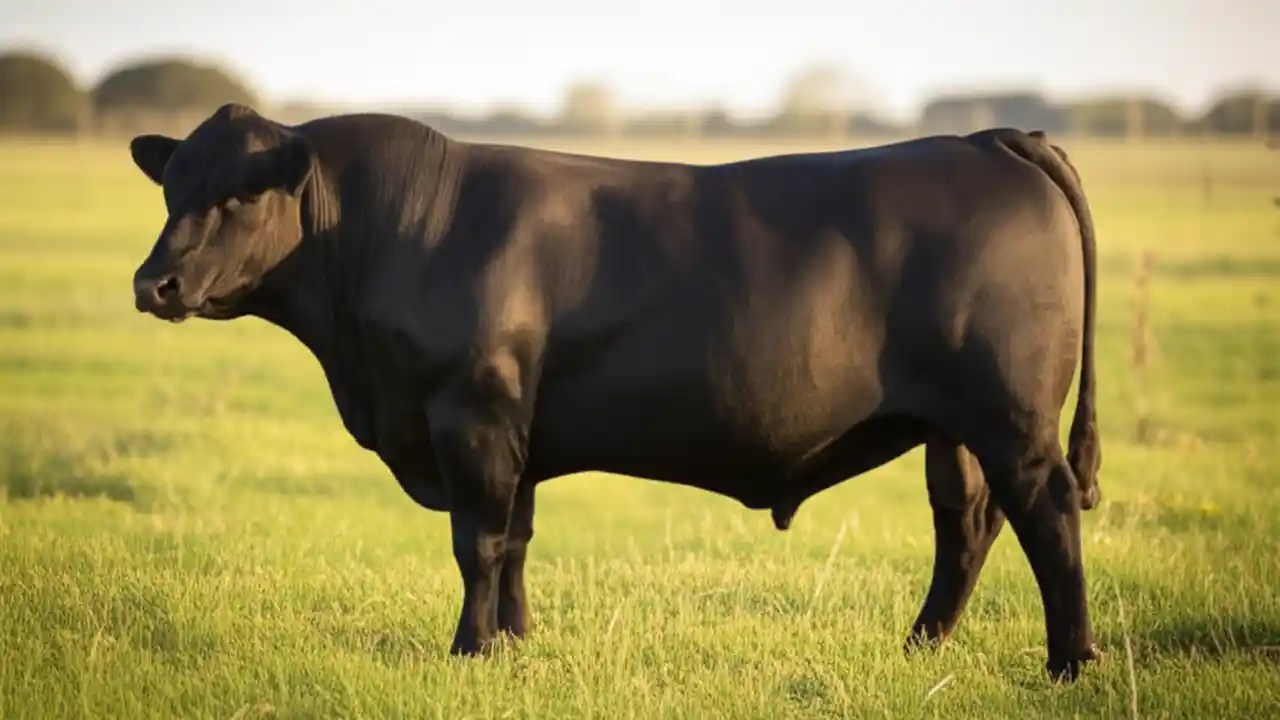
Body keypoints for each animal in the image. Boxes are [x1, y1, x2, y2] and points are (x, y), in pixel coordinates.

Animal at [128, 103, 1103, 681]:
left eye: (242, 196)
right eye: (172, 189)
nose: (153, 284)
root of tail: (984, 138)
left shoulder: (470, 414)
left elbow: (477, 543)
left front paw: (469, 651)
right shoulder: (513, 429)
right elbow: (516, 542)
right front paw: (514, 647)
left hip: (1012, 416)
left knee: (1047, 513)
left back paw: (1069, 663)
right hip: (956, 425)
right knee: (966, 522)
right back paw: (920, 645)